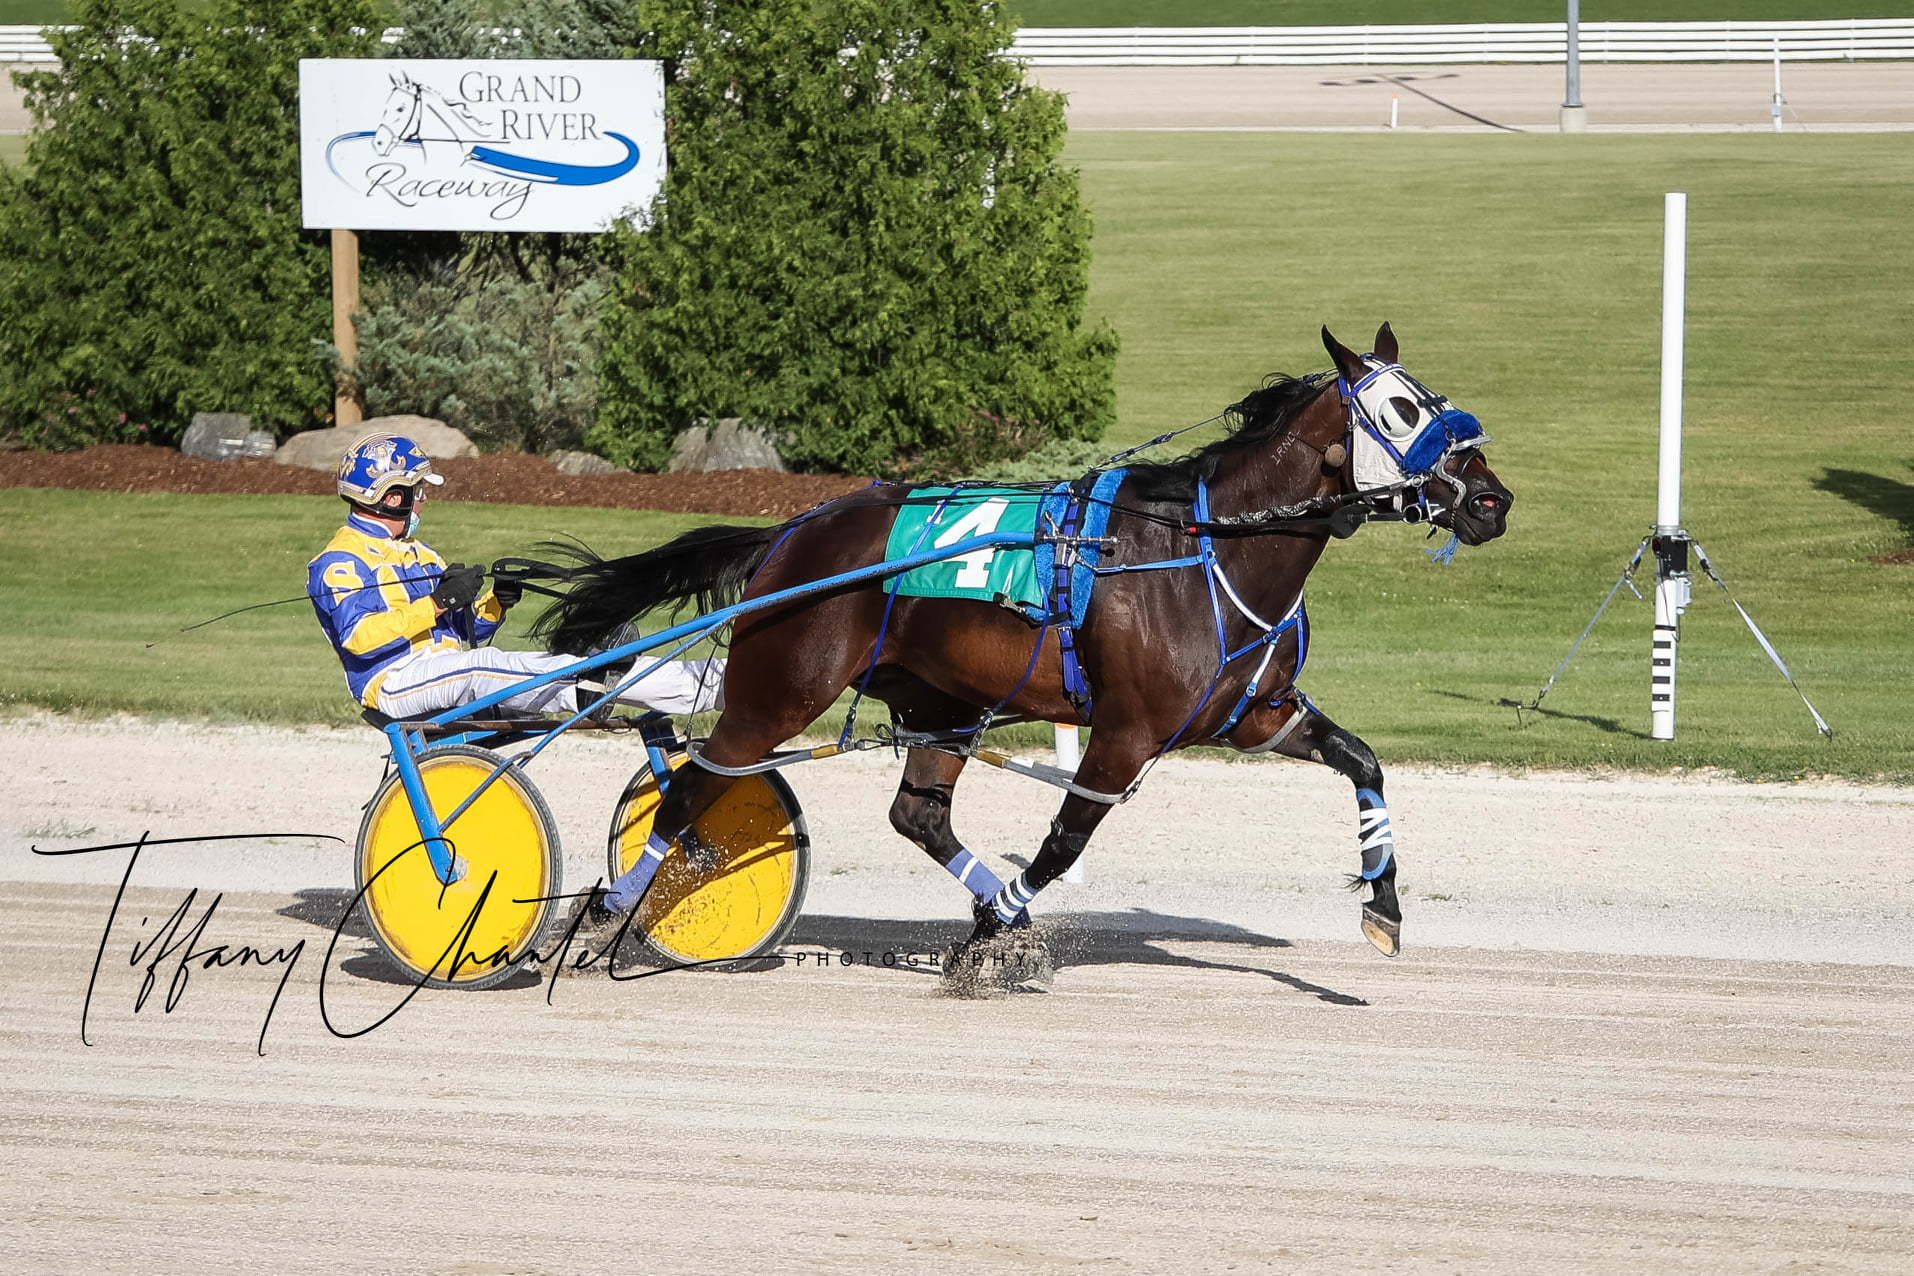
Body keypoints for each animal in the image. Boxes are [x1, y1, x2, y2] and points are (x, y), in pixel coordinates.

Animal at [535, 325, 1513, 969]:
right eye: (1400, 409)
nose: (1492, 499)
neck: (1202, 549)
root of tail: (795, 531)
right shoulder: (1126, 734)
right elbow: (1067, 841)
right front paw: (991, 938)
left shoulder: (1257, 716)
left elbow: (1362, 761)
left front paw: (1385, 904)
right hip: (775, 692)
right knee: (692, 788)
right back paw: (614, 911)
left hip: (941, 703)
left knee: (916, 815)